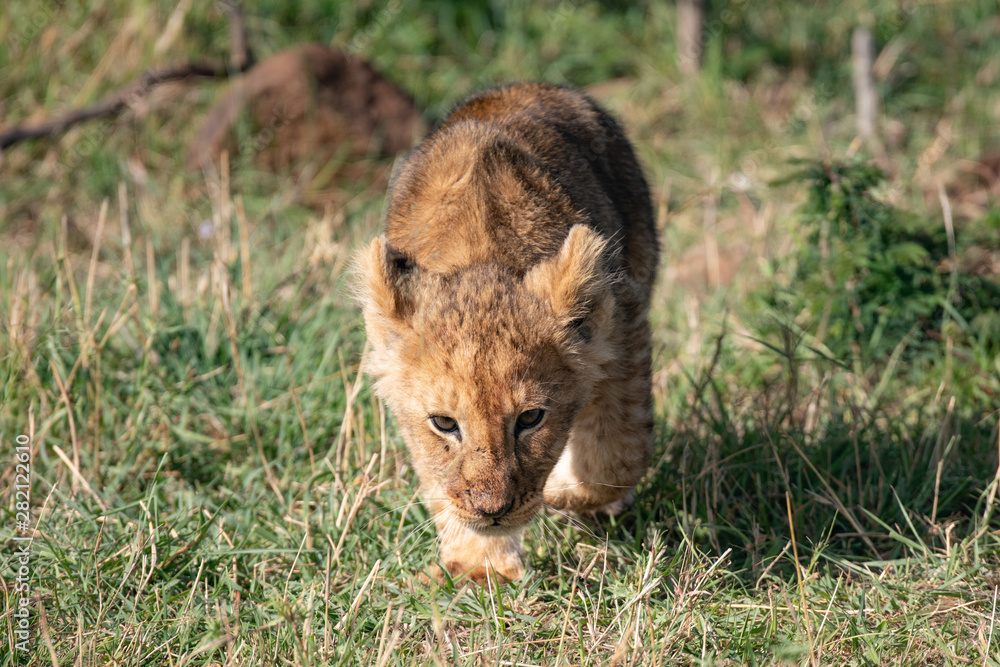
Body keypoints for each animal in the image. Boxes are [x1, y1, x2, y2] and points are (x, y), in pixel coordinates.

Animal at [358, 82, 658, 583]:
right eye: (444, 423)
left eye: (531, 418)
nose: (493, 511)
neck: (479, 250)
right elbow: (439, 480)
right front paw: (482, 568)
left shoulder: (623, 324)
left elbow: (616, 454)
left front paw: (562, 492)